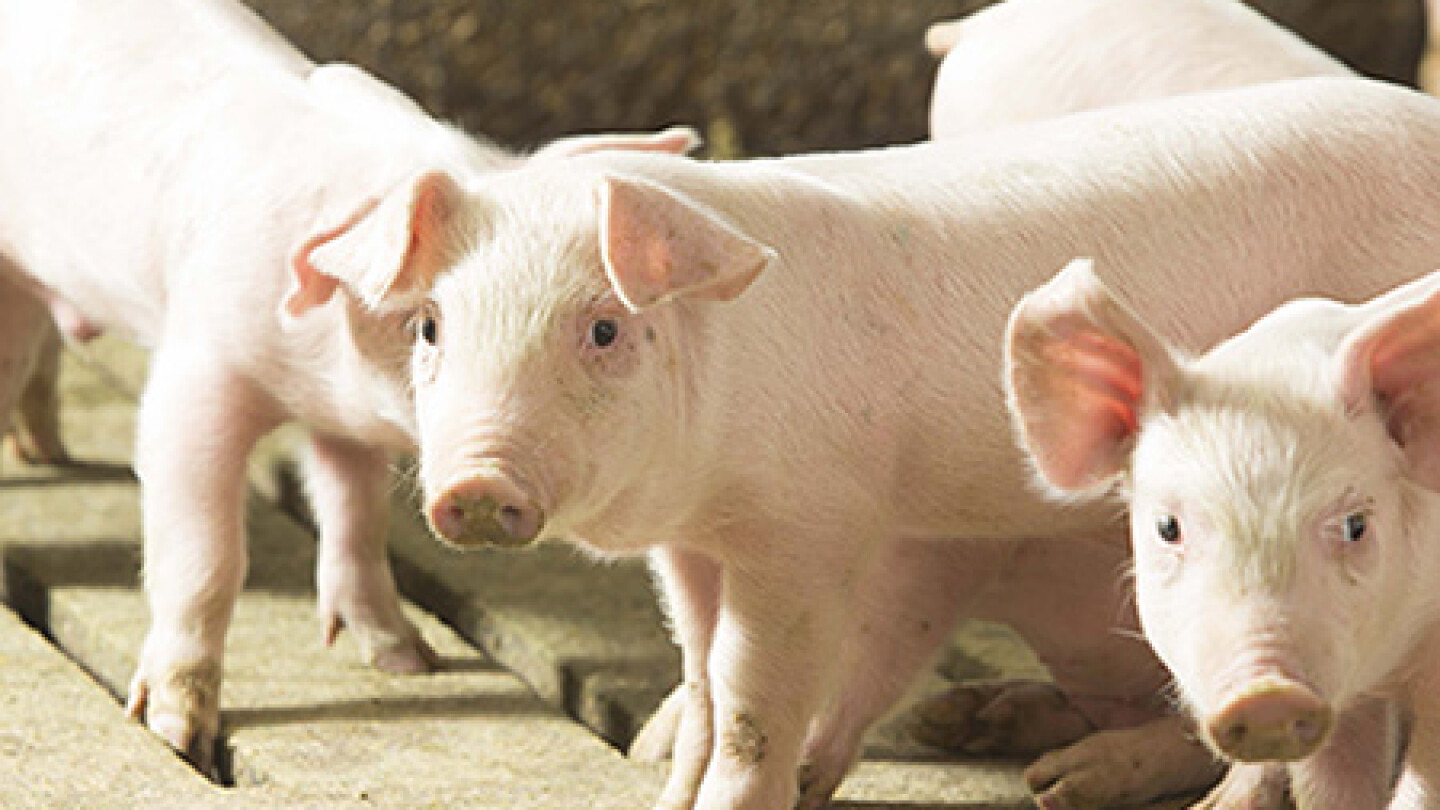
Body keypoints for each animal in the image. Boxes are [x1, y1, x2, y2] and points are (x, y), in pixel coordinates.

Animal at [0, 0, 696, 772]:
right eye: (428, 325)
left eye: (600, 328)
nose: (487, 487)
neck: (322, 380)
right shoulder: (198, 370)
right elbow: (206, 552)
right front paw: (175, 732)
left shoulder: (343, 420)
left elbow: (355, 511)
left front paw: (407, 661)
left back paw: (45, 451)